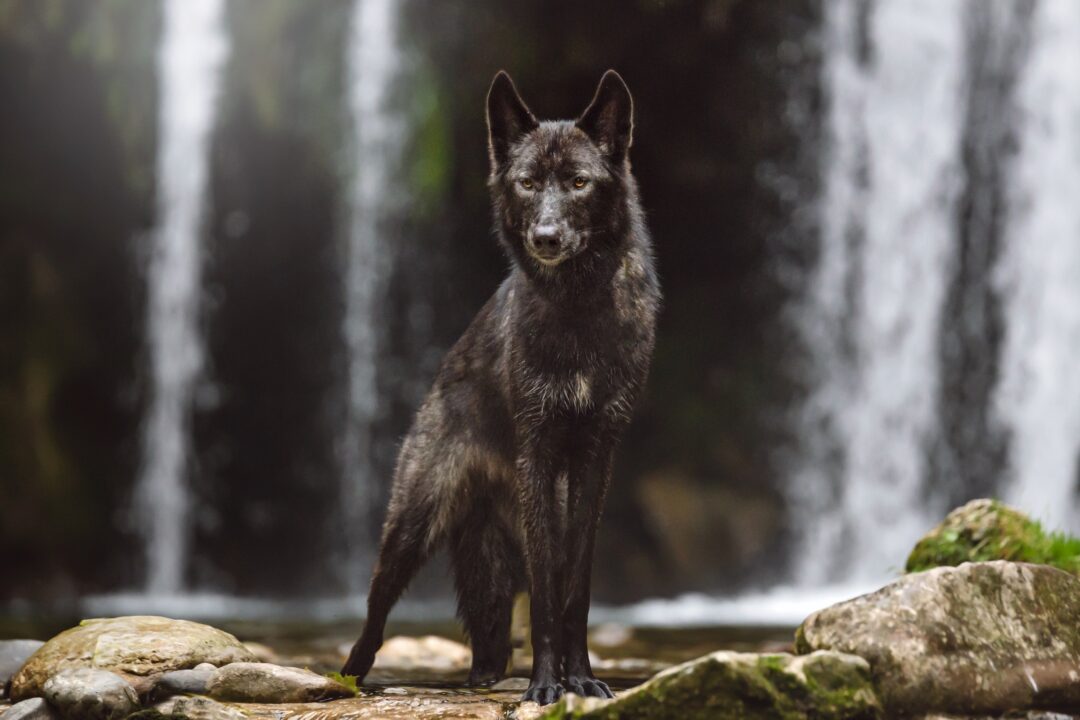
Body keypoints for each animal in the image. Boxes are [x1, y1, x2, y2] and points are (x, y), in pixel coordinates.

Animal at [341, 69, 660, 705]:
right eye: (528, 182)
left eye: (579, 182)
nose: (546, 237)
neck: (577, 312)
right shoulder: (538, 453)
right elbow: (546, 593)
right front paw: (545, 687)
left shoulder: (596, 458)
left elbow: (574, 587)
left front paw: (581, 679)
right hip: (412, 524)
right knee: (375, 616)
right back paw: (346, 679)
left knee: (487, 650)